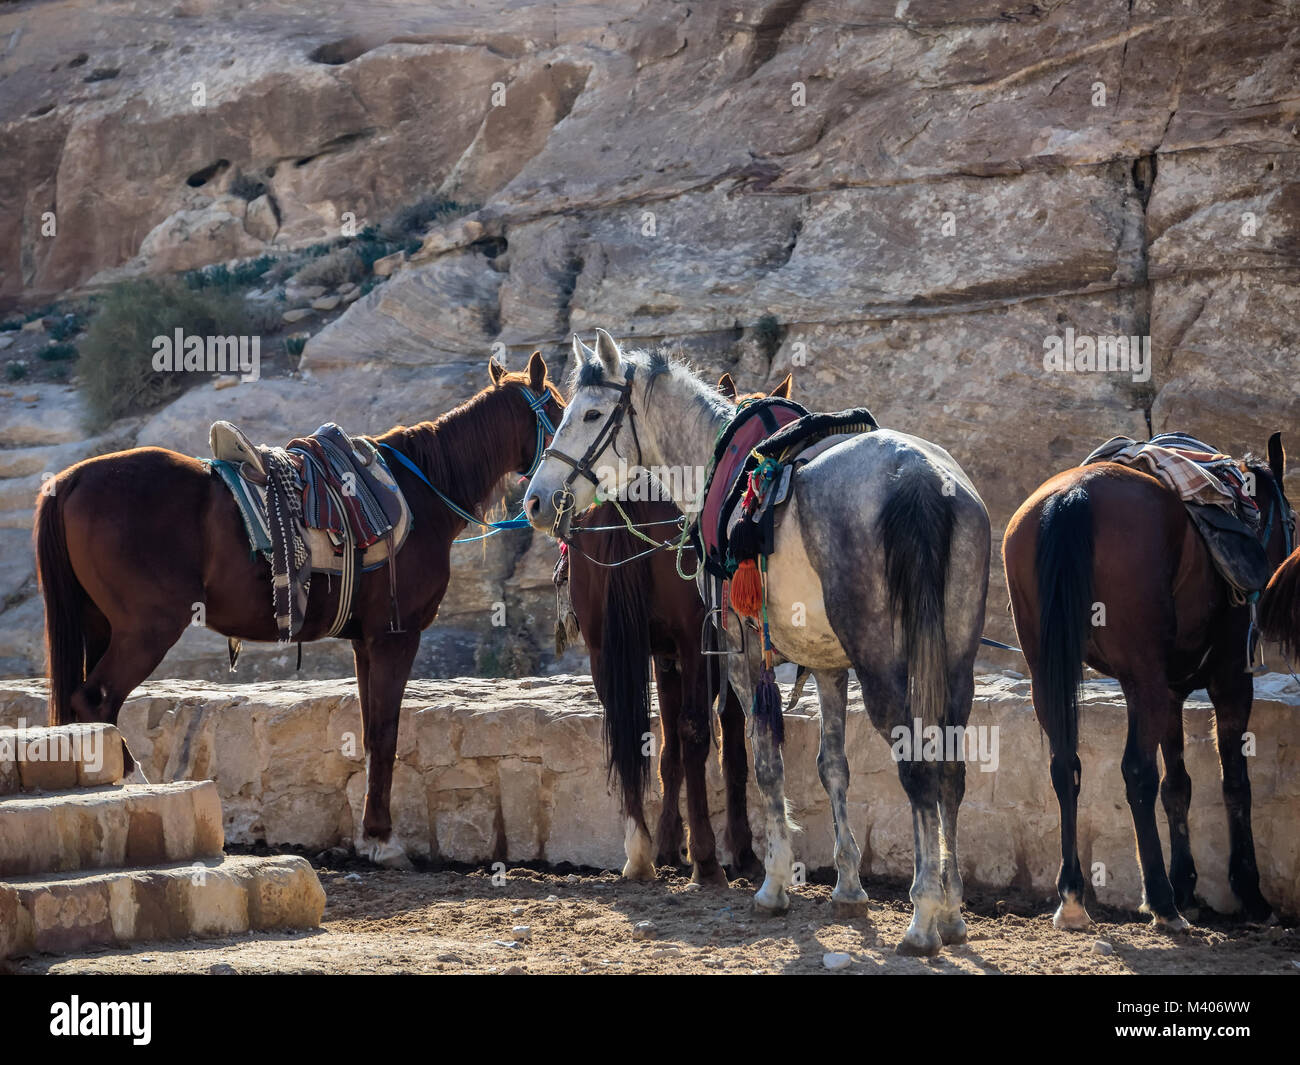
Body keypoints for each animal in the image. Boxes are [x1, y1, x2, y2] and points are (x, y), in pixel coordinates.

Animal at [33, 351, 565, 867]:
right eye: (560, 412)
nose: (555, 496)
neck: (422, 492)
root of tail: (72, 478)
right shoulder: (395, 636)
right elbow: (386, 733)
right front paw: (383, 839)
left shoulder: (366, 642)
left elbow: (371, 732)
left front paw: (370, 837)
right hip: (147, 629)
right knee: (95, 701)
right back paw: (134, 787)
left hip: (102, 625)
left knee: (89, 707)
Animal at [557, 373, 791, 885]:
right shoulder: (708, 651)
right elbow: (727, 744)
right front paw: (738, 850)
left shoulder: (663, 655)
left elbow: (667, 748)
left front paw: (667, 843)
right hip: (690, 644)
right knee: (696, 734)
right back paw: (706, 859)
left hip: (605, 648)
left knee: (630, 731)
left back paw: (641, 852)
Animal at [1002, 434, 1294, 930]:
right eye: (1292, 522)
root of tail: (1073, 497)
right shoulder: (1231, 681)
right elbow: (1234, 782)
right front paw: (1248, 893)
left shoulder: (1171, 692)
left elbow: (1177, 786)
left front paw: (1188, 884)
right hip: (1144, 679)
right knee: (1136, 771)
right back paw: (1160, 899)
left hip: (1054, 677)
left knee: (1065, 767)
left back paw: (1074, 895)